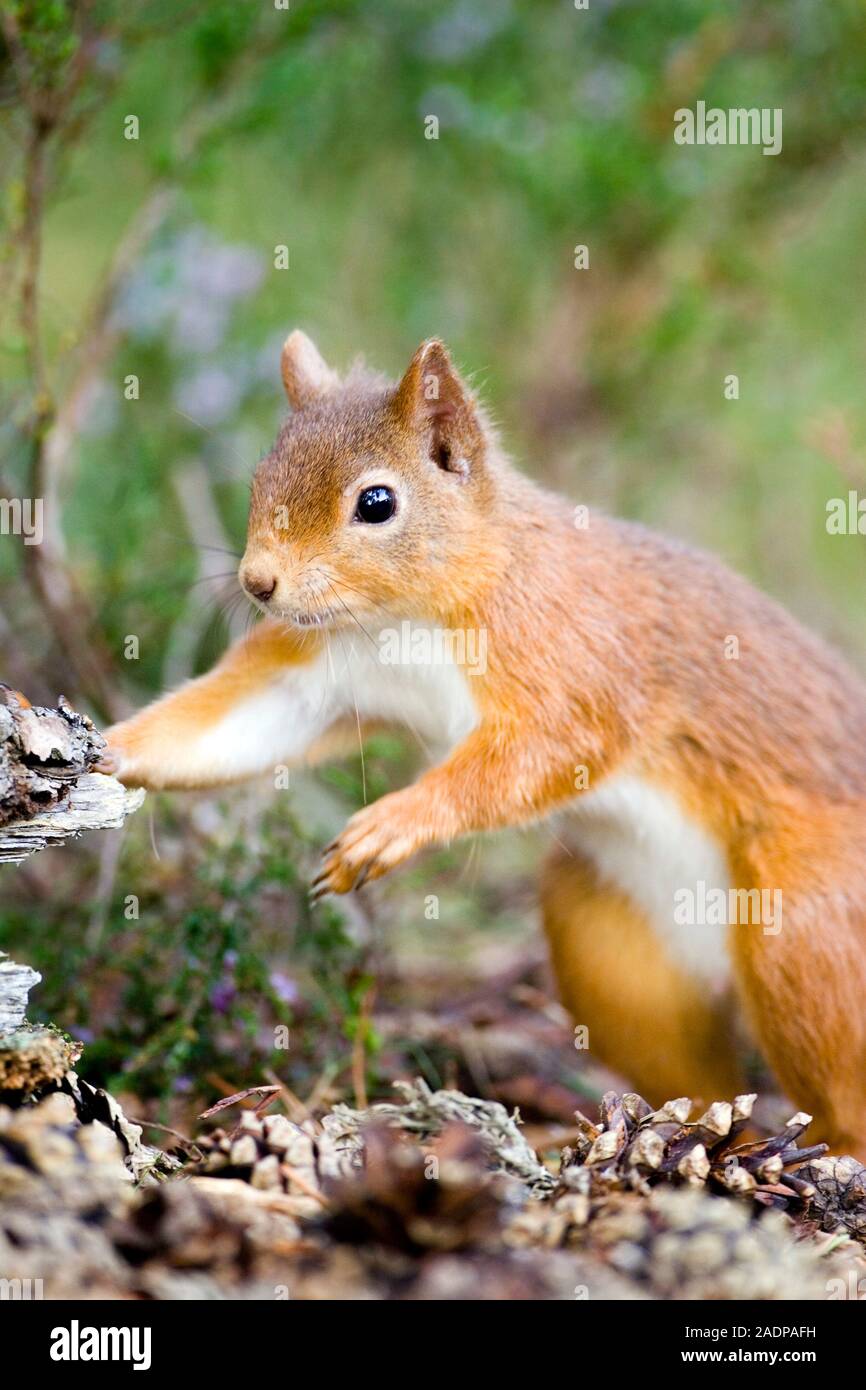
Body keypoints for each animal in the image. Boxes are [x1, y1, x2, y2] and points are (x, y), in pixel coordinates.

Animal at [105, 330, 866, 1157]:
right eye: (260, 475)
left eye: (376, 503)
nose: (258, 582)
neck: (404, 618)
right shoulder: (320, 678)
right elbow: (234, 727)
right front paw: (100, 752)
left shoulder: (572, 663)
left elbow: (546, 752)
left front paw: (392, 825)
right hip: (614, 953)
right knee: (697, 1075)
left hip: (806, 935)